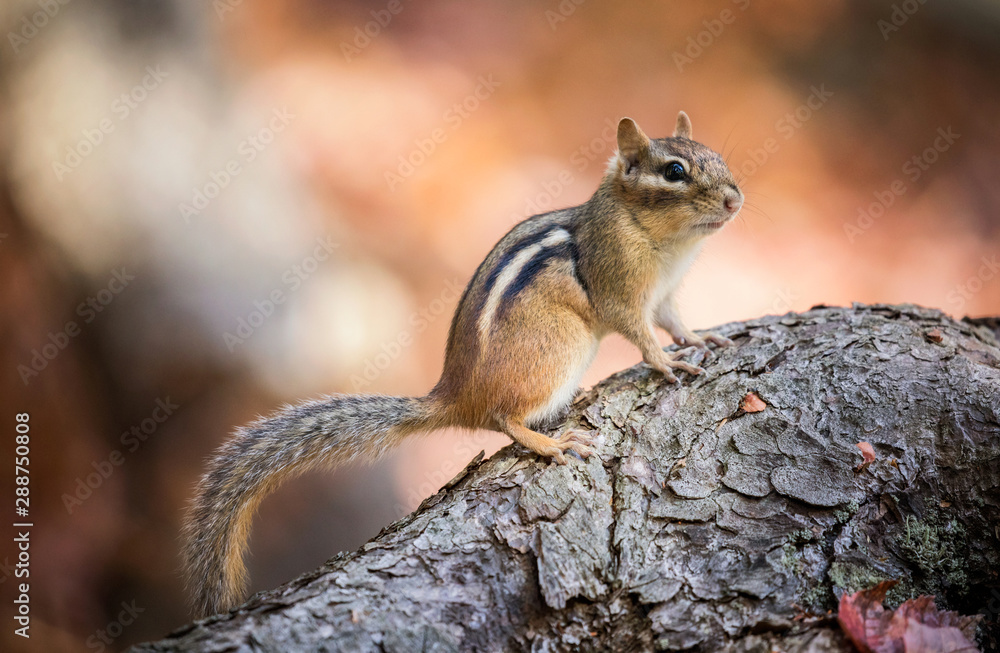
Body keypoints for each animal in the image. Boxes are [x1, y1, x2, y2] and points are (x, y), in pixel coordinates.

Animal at [183, 111, 744, 617]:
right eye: (674, 171)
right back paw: (549, 442)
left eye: (717, 157)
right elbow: (640, 334)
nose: (735, 199)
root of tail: (453, 396)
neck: (663, 240)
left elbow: (672, 321)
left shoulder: (664, 294)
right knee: (503, 418)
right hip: (558, 350)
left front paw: (700, 339)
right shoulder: (620, 288)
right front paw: (668, 364)